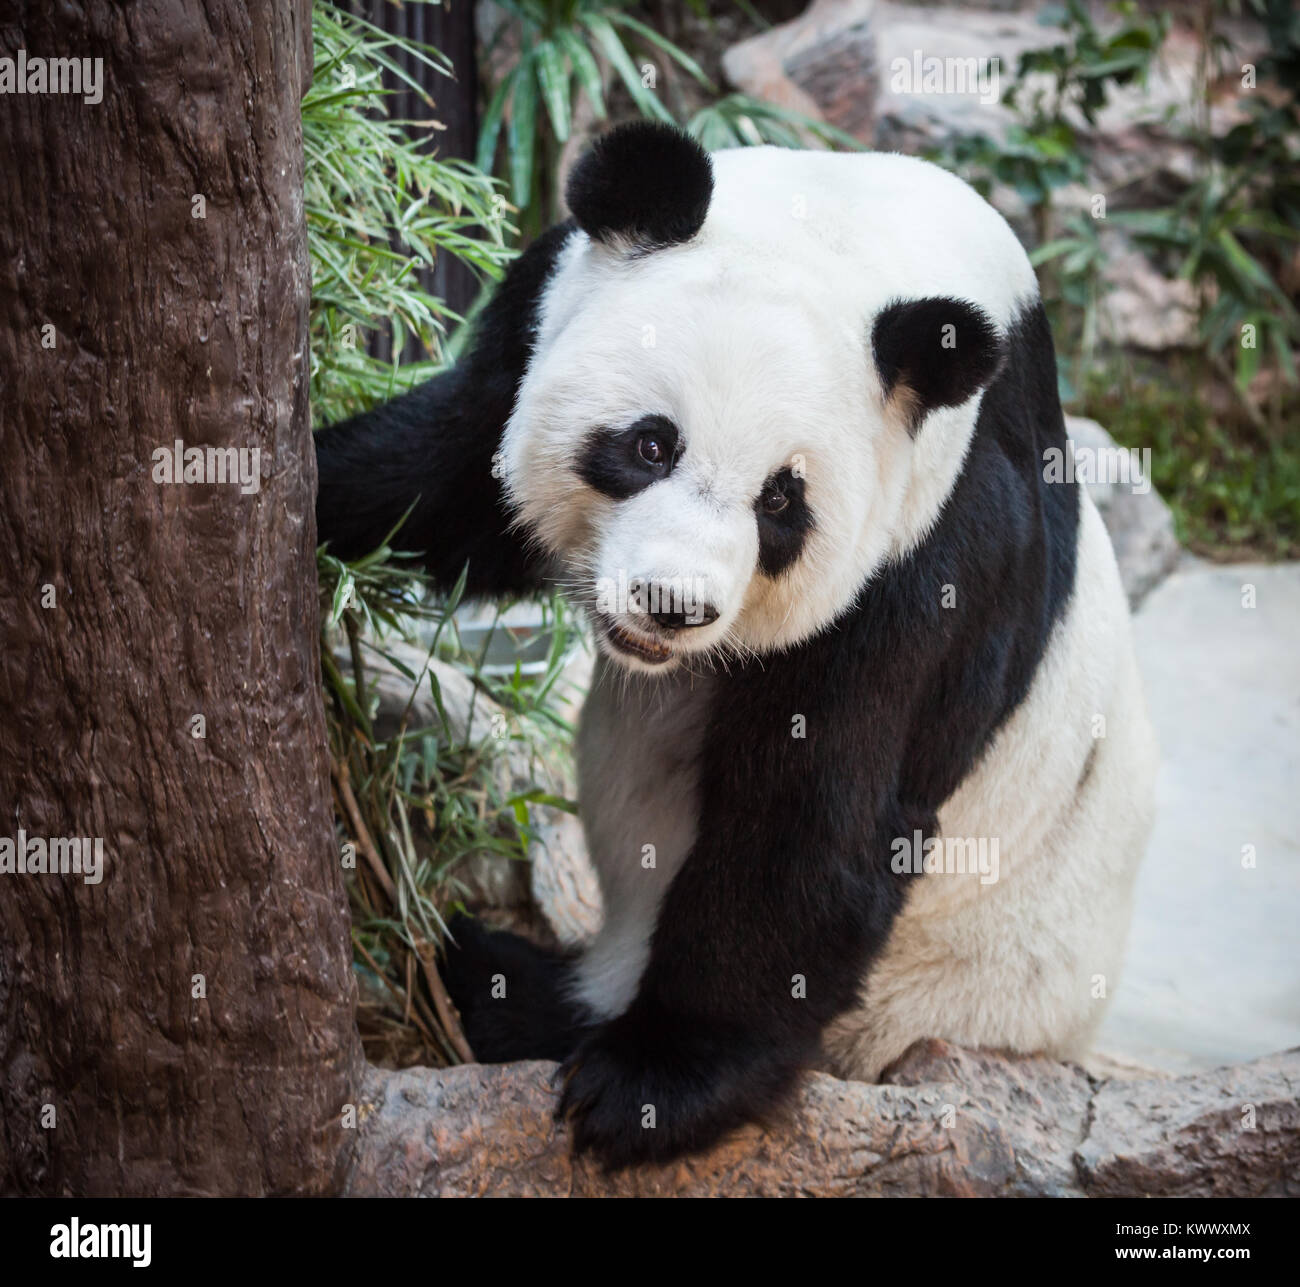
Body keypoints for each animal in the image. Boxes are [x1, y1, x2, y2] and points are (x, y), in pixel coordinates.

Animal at [315, 122, 1158, 1169]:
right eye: (649, 444)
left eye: (781, 500)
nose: (671, 604)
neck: (848, 226)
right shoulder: (539, 319)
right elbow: (450, 479)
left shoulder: (942, 541)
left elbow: (817, 819)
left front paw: (649, 1087)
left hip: (940, 995)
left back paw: (500, 981)